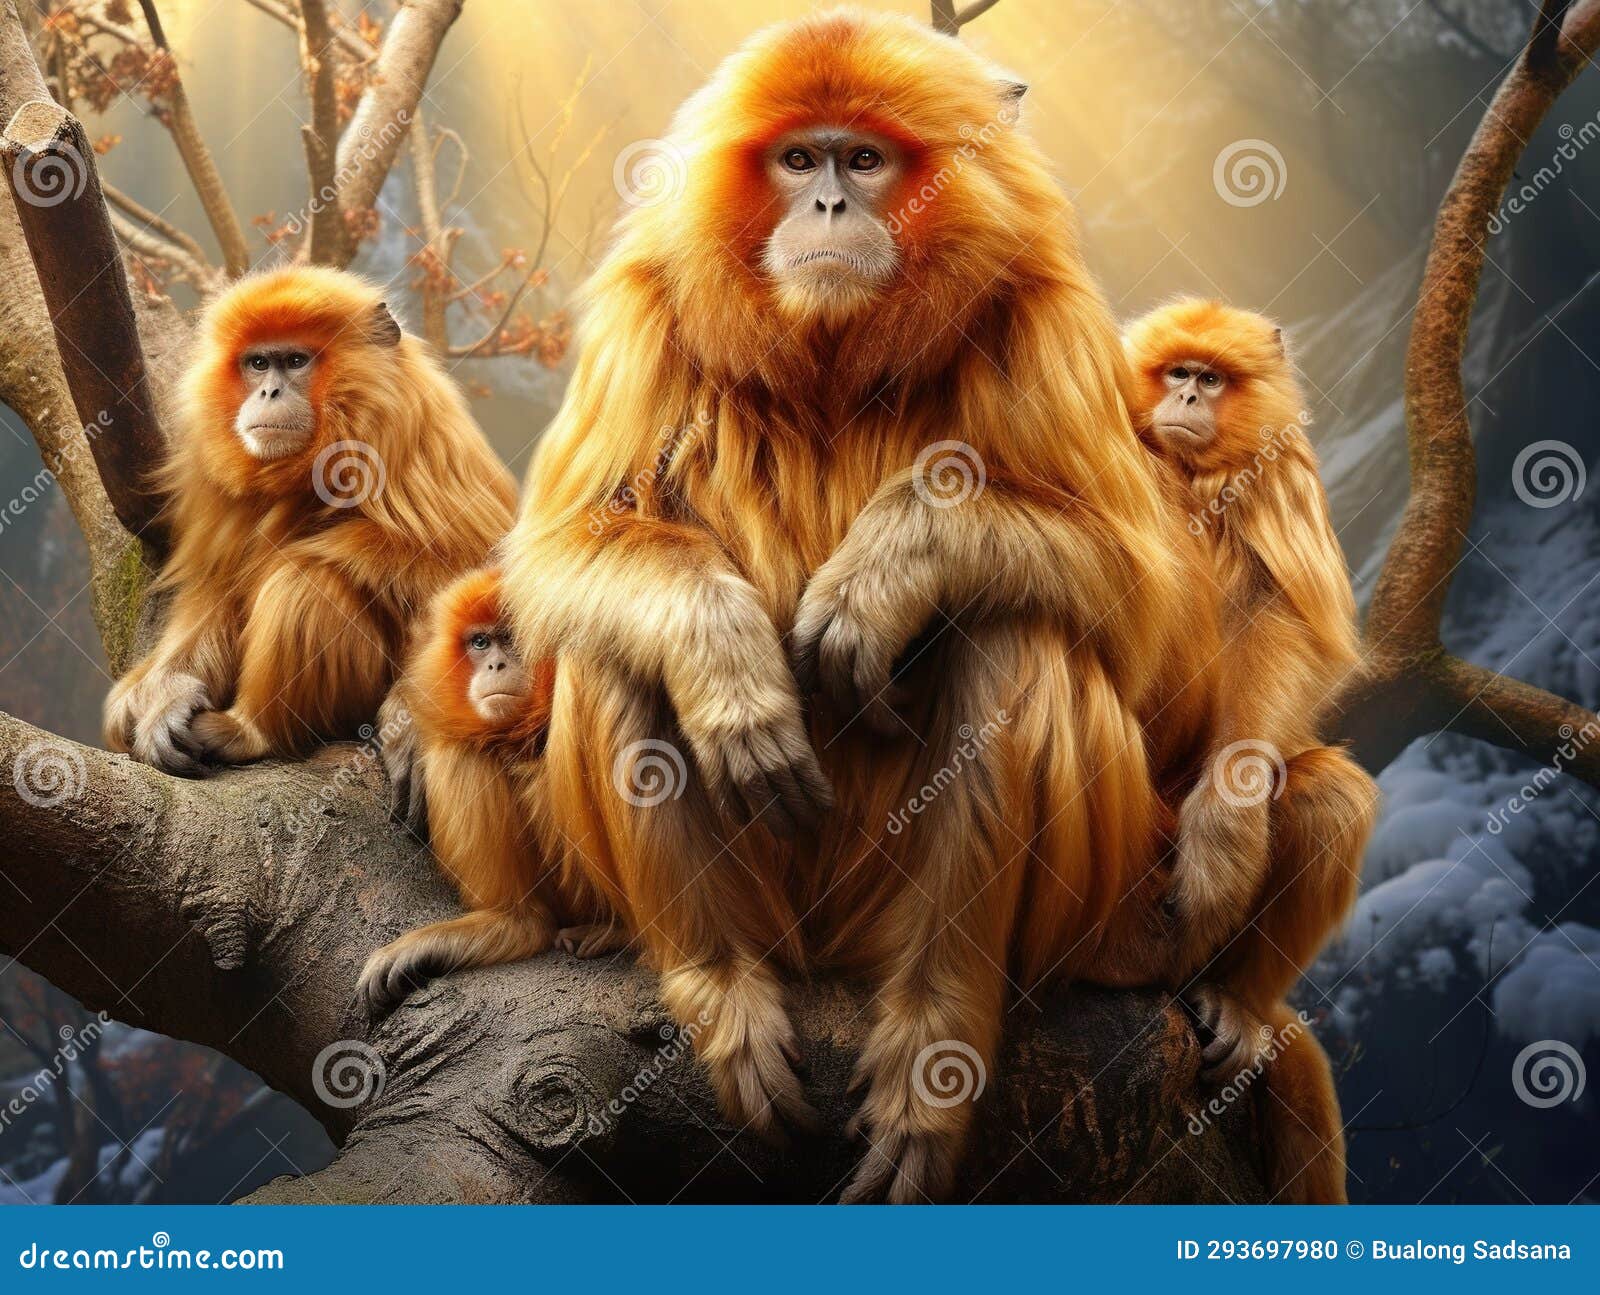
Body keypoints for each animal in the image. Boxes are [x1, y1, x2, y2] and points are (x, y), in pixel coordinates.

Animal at [103, 267, 515, 776]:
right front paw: (168, 695)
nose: (269, 391)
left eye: (296, 360)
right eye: (259, 363)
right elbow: (218, 585)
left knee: (304, 576)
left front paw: (413, 723)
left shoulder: (409, 431)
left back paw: (250, 732)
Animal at [499, 10, 1223, 1201]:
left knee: (1015, 635)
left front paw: (889, 567)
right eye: (799, 159)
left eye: (865, 160)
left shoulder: (1043, 307)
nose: (831, 207)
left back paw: (939, 1033)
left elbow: (1143, 601)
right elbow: (559, 552)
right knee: (619, 652)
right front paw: (730, 664)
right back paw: (722, 984)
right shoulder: (646, 304)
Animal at [1124, 298, 1381, 1202]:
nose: (1186, 400)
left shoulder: (1283, 472)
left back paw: (1235, 997)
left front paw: (1228, 818)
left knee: (1327, 793)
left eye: (1210, 379)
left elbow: (1284, 617)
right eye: (1176, 373)